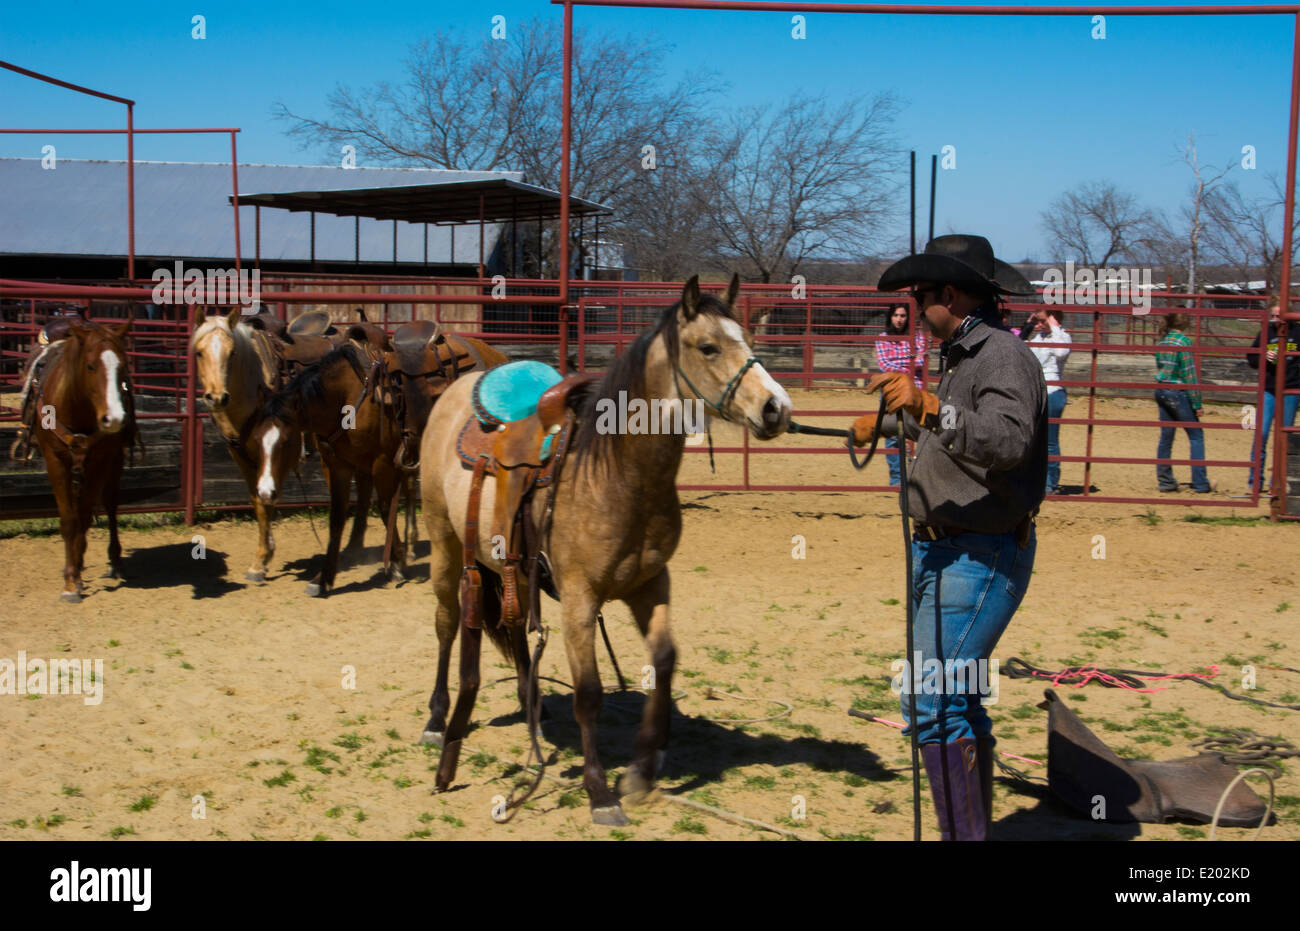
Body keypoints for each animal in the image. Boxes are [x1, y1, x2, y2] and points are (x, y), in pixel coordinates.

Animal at [18, 315, 137, 602]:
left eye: (123, 366)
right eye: (90, 366)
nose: (114, 418)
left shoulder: (100, 460)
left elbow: (84, 516)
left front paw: (76, 574)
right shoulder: (55, 461)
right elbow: (70, 520)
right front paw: (71, 581)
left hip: (114, 460)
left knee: (110, 504)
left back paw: (114, 562)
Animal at [191, 308, 373, 582]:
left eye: (232, 352)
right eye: (199, 352)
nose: (217, 397)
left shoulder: (282, 450)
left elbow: (269, 498)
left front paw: (263, 560)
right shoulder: (241, 456)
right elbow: (258, 500)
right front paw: (261, 558)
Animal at [248, 340, 409, 596]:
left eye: (286, 441)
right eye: (256, 438)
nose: (264, 492)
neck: (348, 399)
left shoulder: (383, 462)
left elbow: (386, 510)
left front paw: (397, 564)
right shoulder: (337, 465)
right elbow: (336, 519)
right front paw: (322, 579)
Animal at [417, 274, 792, 825]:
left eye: (745, 338)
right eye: (709, 347)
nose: (776, 407)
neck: (618, 473)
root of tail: (460, 388)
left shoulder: (650, 584)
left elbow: (664, 662)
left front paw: (643, 768)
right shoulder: (579, 598)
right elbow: (590, 695)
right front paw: (601, 792)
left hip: (510, 569)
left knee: (515, 630)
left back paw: (533, 708)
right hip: (445, 546)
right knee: (446, 625)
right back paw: (437, 720)